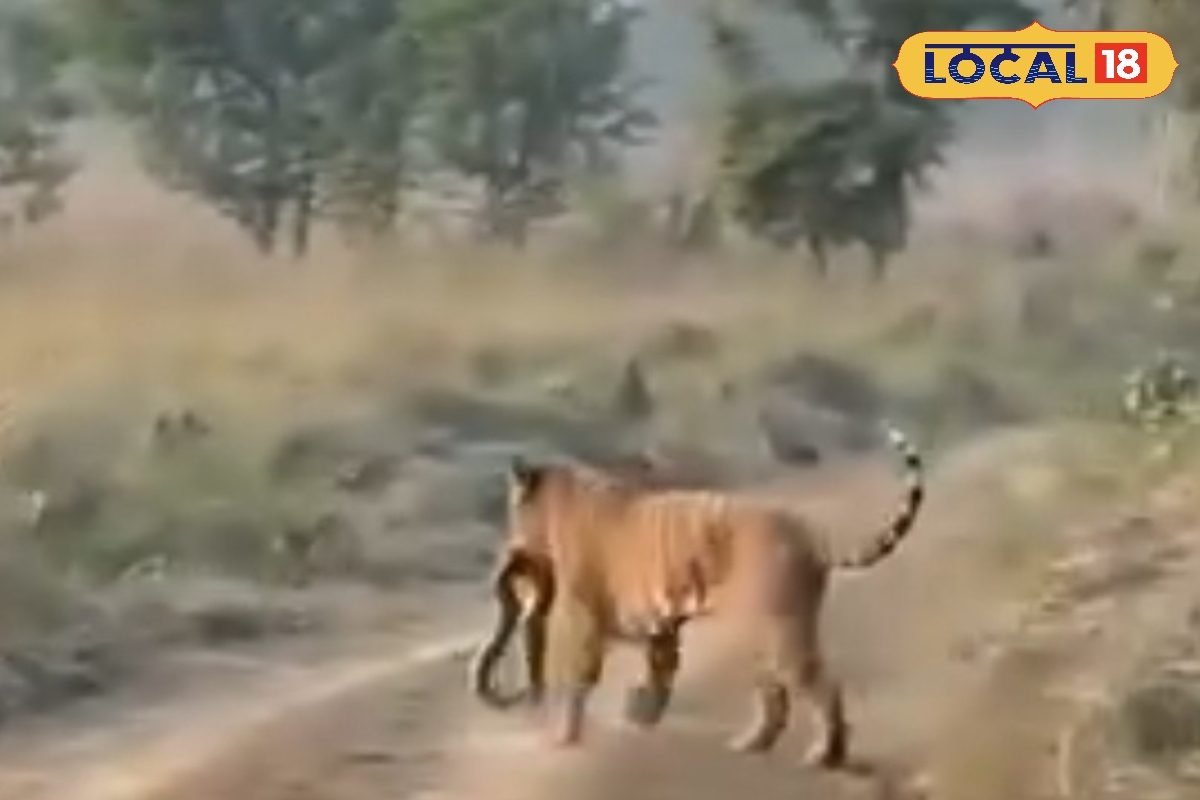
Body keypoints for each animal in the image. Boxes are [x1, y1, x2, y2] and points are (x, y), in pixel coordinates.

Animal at [469, 423, 925, 769]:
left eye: (509, 512)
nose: (505, 552)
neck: (559, 498)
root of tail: (811, 539)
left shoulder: (583, 625)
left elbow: (577, 683)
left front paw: (566, 736)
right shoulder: (661, 627)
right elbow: (660, 673)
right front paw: (641, 719)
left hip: (779, 632)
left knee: (820, 687)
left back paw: (824, 755)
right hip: (758, 637)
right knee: (776, 697)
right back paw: (752, 745)